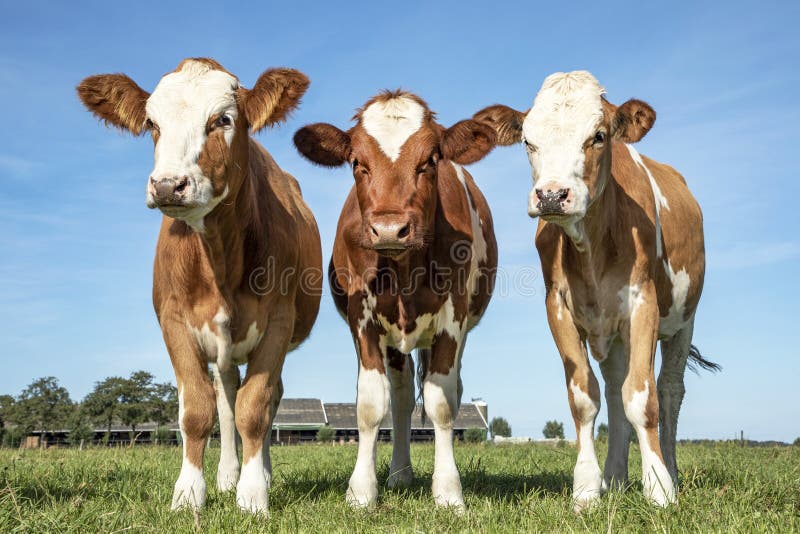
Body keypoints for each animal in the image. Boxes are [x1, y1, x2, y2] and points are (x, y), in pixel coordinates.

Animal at [77, 58, 322, 515]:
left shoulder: (278, 323)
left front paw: (253, 495)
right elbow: (197, 409)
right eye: (152, 124)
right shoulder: (173, 322)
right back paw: (227, 476)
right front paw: (189, 494)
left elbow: (255, 408)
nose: (167, 185)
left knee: (266, 399)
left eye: (223, 119)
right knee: (225, 398)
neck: (218, 256)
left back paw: (259, 472)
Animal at [293, 91, 498, 510]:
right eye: (357, 162)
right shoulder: (362, 317)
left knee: (449, 392)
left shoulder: (453, 318)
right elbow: (372, 404)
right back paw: (400, 474)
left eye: (431, 160)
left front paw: (448, 491)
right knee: (402, 398)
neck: (404, 270)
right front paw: (361, 491)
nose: (389, 229)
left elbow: (441, 404)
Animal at [474, 71, 718, 509]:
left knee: (669, 390)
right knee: (616, 391)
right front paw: (587, 488)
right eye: (527, 141)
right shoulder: (559, 308)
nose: (552, 194)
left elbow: (643, 396)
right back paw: (615, 479)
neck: (592, 245)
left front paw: (659, 488)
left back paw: (670, 471)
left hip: (683, 320)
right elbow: (586, 398)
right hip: (612, 333)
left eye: (599, 136)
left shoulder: (643, 304)